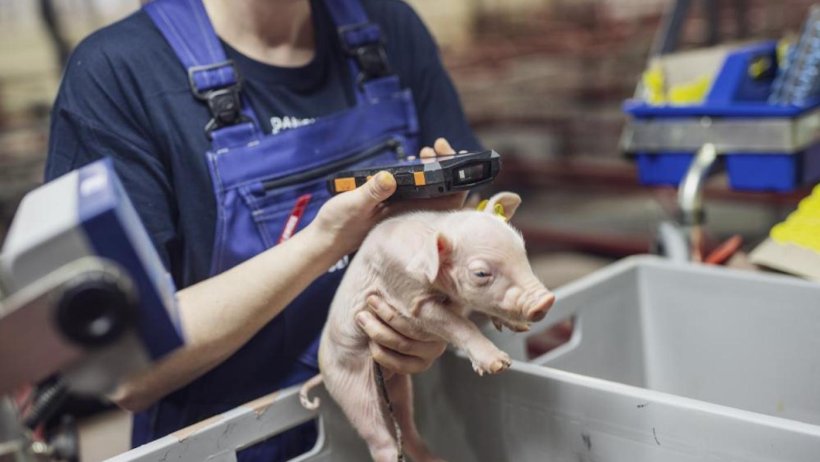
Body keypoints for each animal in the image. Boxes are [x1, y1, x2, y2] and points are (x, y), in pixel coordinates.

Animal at [299, 192, 554, 462]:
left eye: (522, 251)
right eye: (481, 273)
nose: (546, 301)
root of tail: (322, 369)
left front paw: (521, 327)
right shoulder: (410, 296)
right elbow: (460, 325)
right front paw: (499, 364)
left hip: (398, 384)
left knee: (408, 430)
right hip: (347, 380)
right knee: (377, 437)